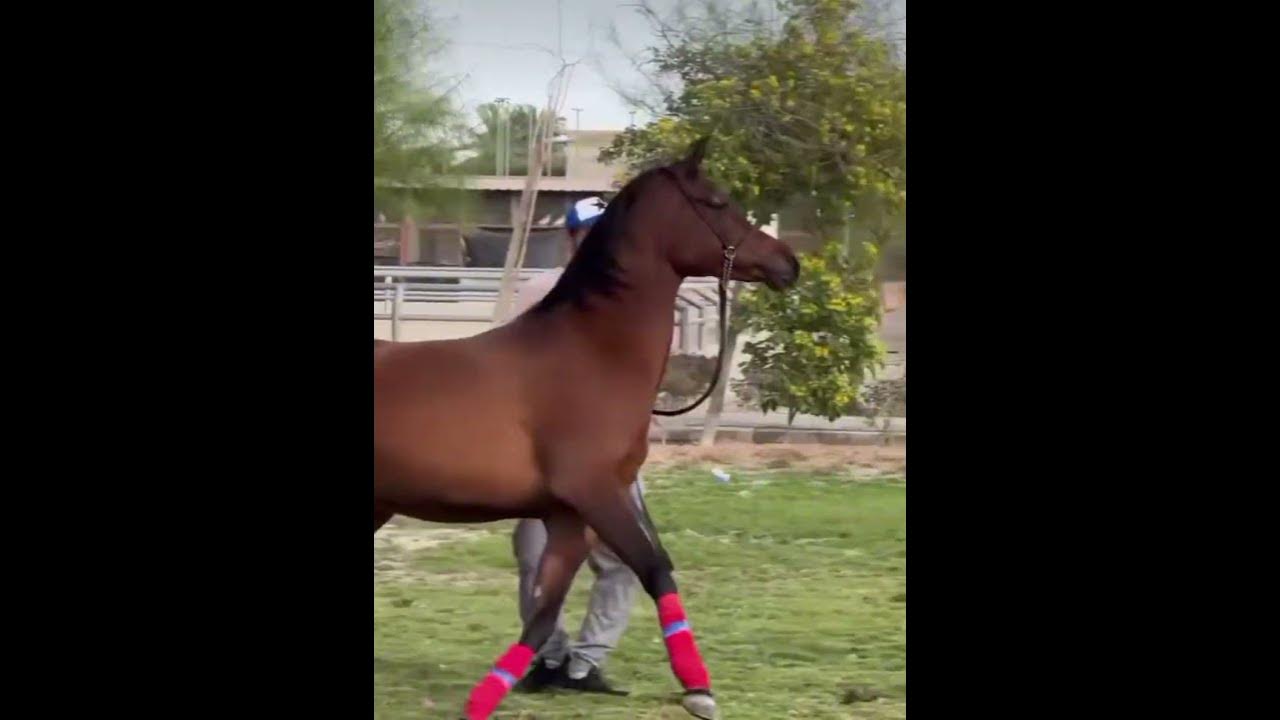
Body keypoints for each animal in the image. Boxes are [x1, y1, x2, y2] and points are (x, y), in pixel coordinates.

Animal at [373, 137, 799, 720]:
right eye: (716, 201)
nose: (789, 264)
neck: (592, 354)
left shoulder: (570, 517)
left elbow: (541, 616)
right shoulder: (595, 491)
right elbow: (655, 568)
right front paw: (699, 688)